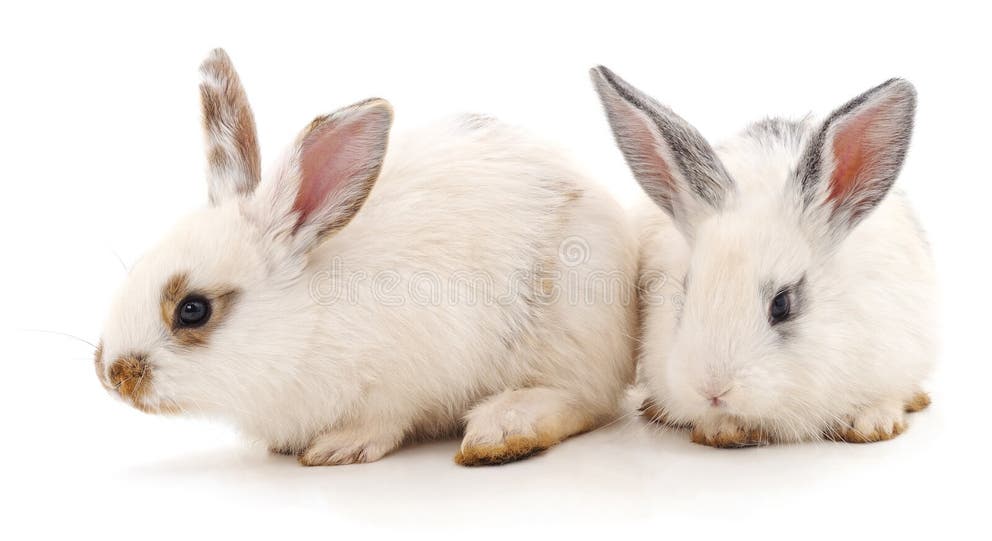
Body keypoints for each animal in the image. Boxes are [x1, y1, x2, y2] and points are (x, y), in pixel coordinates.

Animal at [93, 49, 638, 466]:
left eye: (193, 310)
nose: (113, 376)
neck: (307, 322)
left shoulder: (406, 374)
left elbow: (384, 419)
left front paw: (339, 448)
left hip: (568, 334)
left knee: (583, 400)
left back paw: (499, 433)